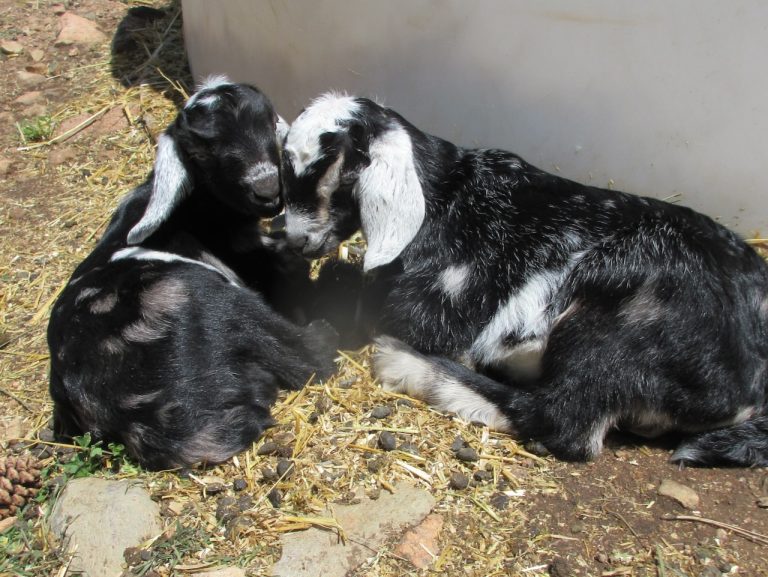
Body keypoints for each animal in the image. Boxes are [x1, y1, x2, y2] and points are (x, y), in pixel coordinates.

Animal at [280, 93, 768, 467]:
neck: (445, 199)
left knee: (563, 420)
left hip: (620, 318)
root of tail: (744, 386)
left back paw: (409, 367)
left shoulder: (436, 313)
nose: (294, 239)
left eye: (340, 173)